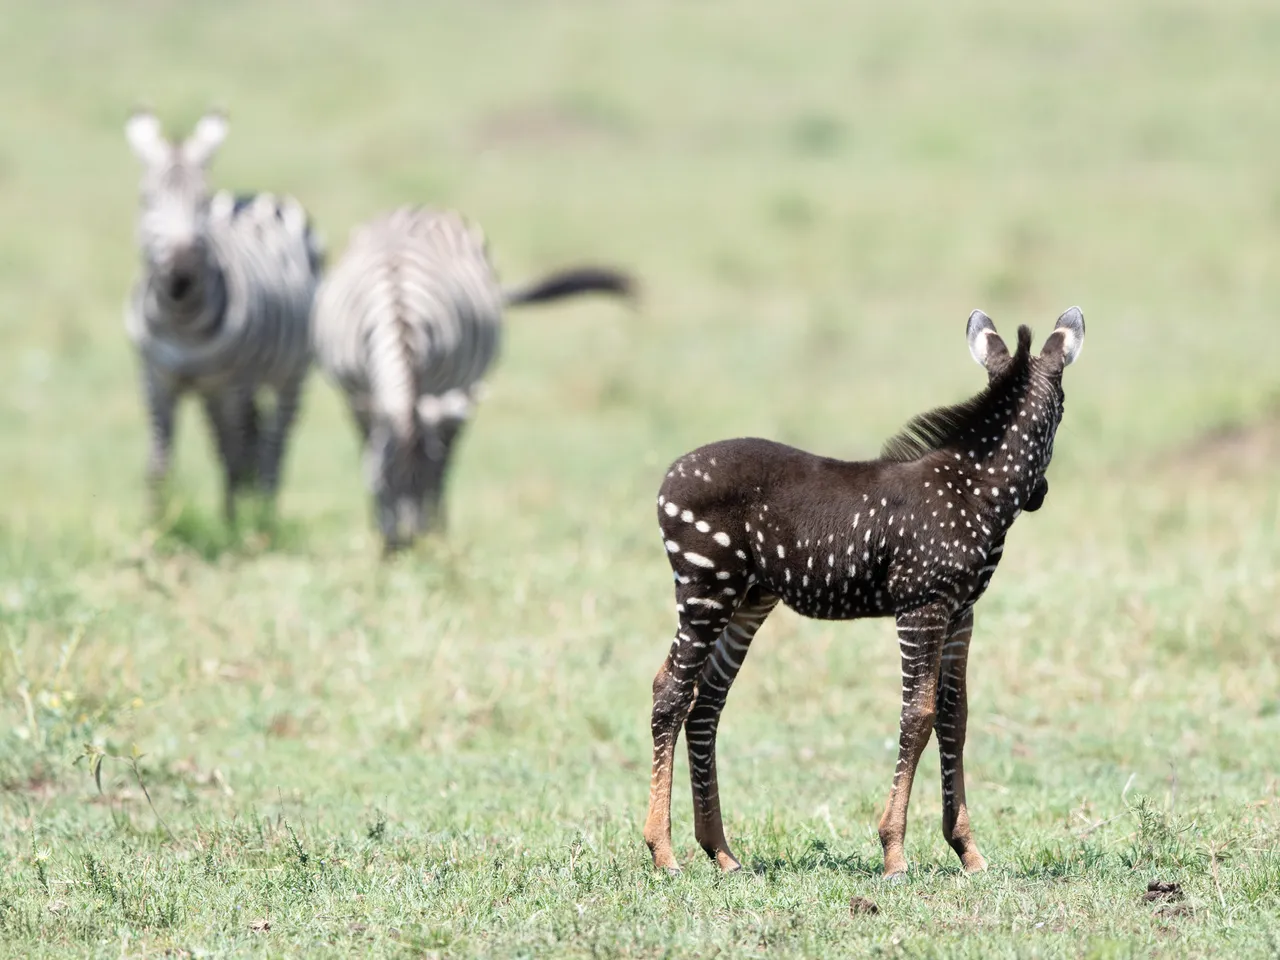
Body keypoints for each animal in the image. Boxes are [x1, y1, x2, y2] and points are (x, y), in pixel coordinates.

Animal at [123, 110, 323, 524]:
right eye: (146, 199)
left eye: (201, 201)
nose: (182, 271)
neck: (180, 321)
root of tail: (254, 195)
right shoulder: (155, 378)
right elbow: (159, 461)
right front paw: (155, 525)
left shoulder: (233, 384)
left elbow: (234, 456)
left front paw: (233, 527)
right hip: (215, 391)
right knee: (247, 440)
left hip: (289, 374)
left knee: (272, 444)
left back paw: (263, 511)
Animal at [310, 206, 634, 553]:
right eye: (383, 482)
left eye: (425, 483)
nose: (410, 544)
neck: (399, 317)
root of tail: (419, 208)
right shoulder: (357, 395)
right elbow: (367, 452)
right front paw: (380, 533)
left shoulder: (441, 394)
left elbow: (440, 465)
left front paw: (432, 530)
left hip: (465, 388)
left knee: (451, 451)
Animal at [642, 308, 1085, 877]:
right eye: (1062, 411)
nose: (1041, 496)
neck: (973, 490)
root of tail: (670, 475)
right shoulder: (922, 605)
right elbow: (917, 715)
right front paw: (894, 852)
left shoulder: (961, 611)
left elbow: (954, 716)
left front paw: (967, 850)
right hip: (704, 588)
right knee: (670, 692)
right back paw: (663, 852)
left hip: (748, 599)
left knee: (706, 703)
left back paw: (721, 852)